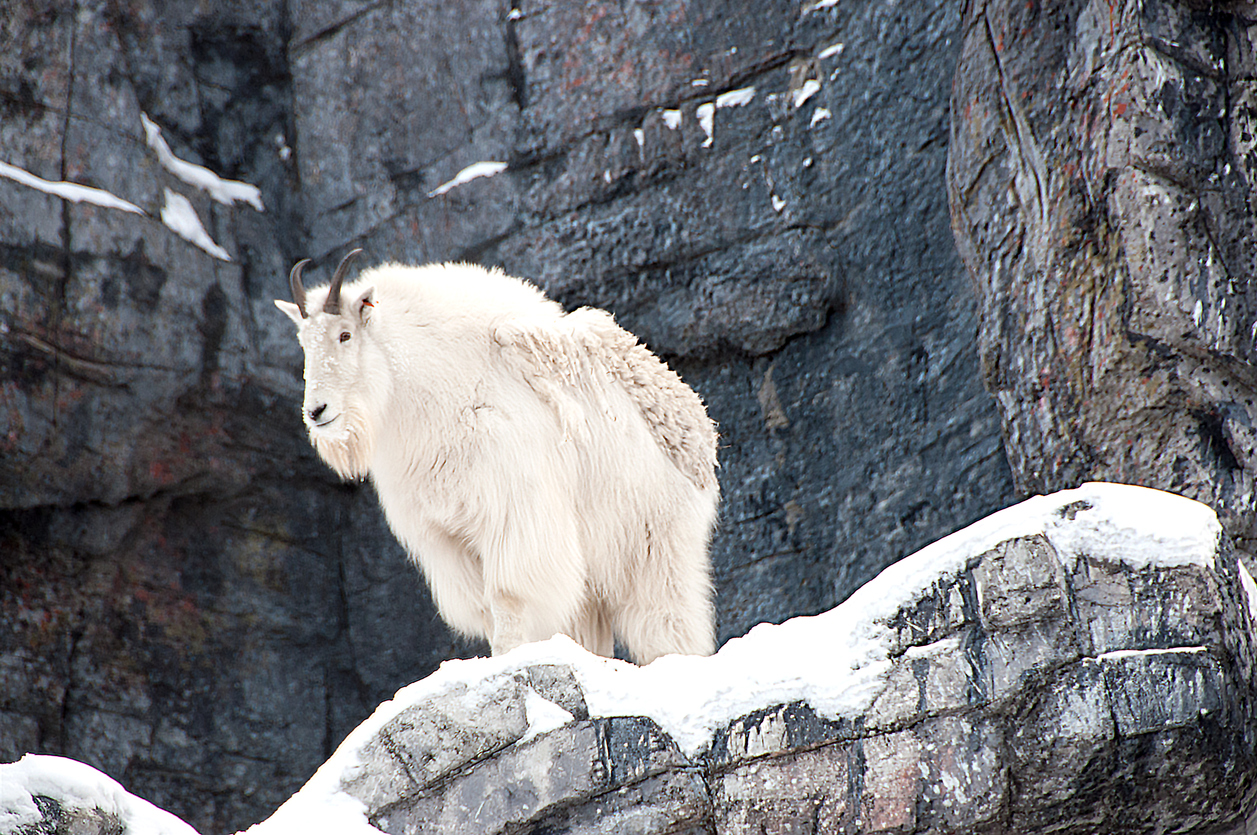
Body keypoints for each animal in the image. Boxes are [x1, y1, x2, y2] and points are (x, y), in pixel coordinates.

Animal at [275, 251, 719, 664]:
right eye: (304, 344)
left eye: (345, 335)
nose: (317, 412)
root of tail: (701, 437)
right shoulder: (448, 538)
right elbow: (484, 609)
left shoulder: (513, 514)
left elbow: (506, 596)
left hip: (656, 546)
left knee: (666, 620)